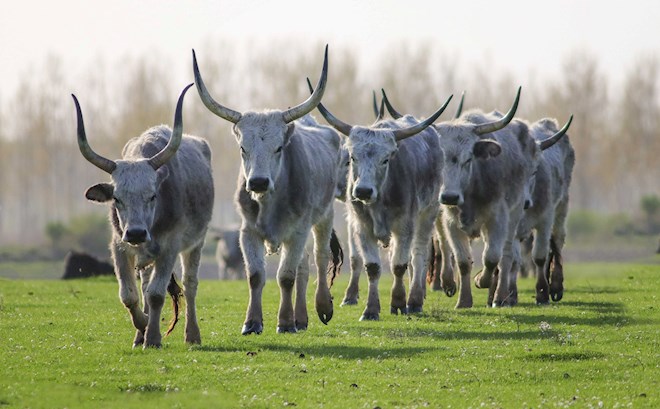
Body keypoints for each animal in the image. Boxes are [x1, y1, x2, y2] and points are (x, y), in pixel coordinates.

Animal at [72, 83, 214, 348]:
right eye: (117, 198)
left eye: (152, 195)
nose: (137, 232)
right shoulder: (119, 245)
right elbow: (128, 295)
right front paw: (143, 325)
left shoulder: (170, 246)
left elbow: (157, 294)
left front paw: (154, 337)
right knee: (146, 285)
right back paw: (141, 334)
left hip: (195, 244)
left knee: (190, 285)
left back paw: (192, 334)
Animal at [193, 46, 344, 335]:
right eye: (243, 148)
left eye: (278, 148)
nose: (258, 182)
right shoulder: (247, 232)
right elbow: (255, 275)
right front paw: (252, 322)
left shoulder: (297, 231)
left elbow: (285, 276)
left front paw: (284, 322)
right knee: (304, 267)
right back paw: (301, 318)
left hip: (324, 217)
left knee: (319, 258)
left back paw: (321, 307)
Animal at [309, 79, 452, 320]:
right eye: (352, 157)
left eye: (385, 159)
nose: (363, 191)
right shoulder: (362, 226)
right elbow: (373, 267)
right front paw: (370, 309)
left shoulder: (404, 225)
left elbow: (400, 265)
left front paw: (398, 303)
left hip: (428, 213)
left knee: (419, 254)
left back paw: (415, 299)